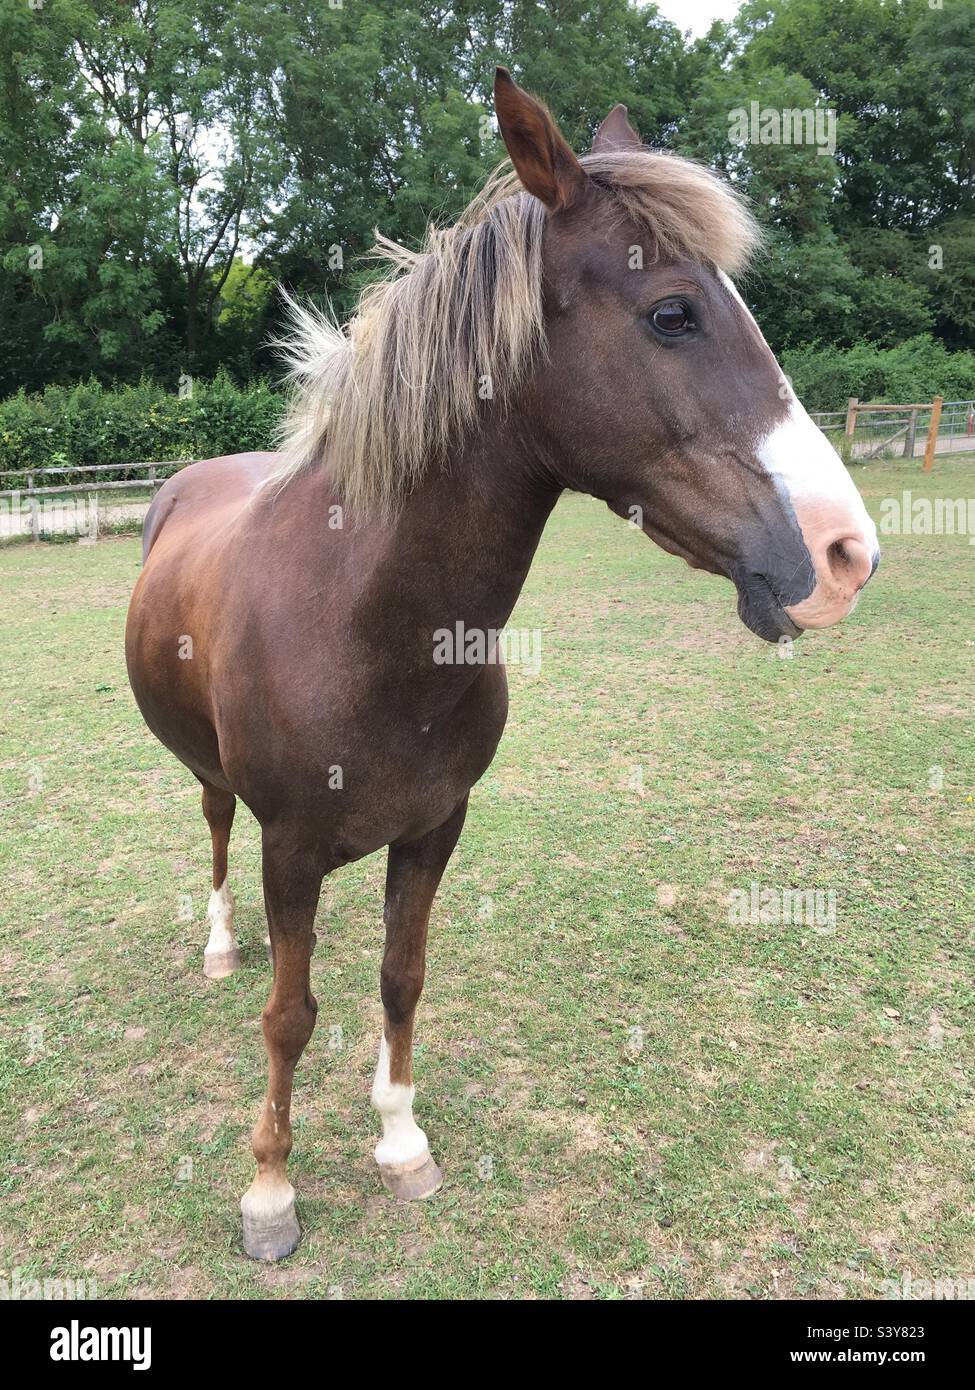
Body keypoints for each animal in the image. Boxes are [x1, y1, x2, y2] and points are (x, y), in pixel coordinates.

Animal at [125, 69, 879, 1261]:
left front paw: (400, 1142)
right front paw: (270, 1190)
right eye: (673, 312)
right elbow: (289, 1017)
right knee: (211, 832)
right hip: (213, 784)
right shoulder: (289, 849)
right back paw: (217, 944)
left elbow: (401, 978)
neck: (367, 626)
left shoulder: (435, 828)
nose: (846, 553)